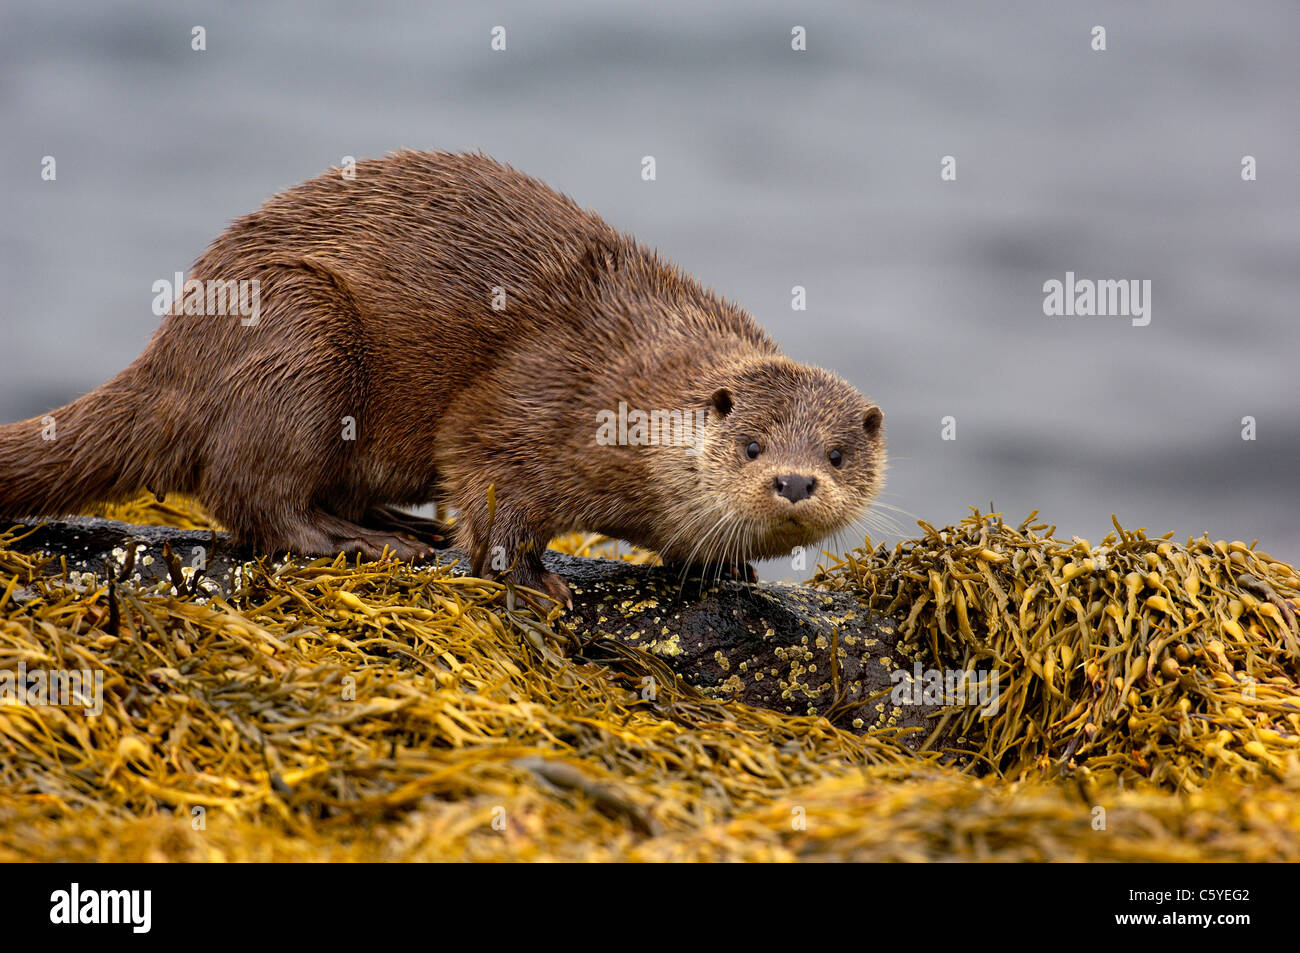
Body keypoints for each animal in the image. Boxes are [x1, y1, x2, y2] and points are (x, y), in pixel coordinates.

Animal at [0, 151, 884, 605]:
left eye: (838, 454)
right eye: (752, 444)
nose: (795, 482)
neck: (636, 391)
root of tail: (173, 344)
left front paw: (721, 564)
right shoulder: (539, 401)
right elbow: (492, 490)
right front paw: (531, 583)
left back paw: (403, 524)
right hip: (300, 330)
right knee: (251, 494)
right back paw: (361, 540)